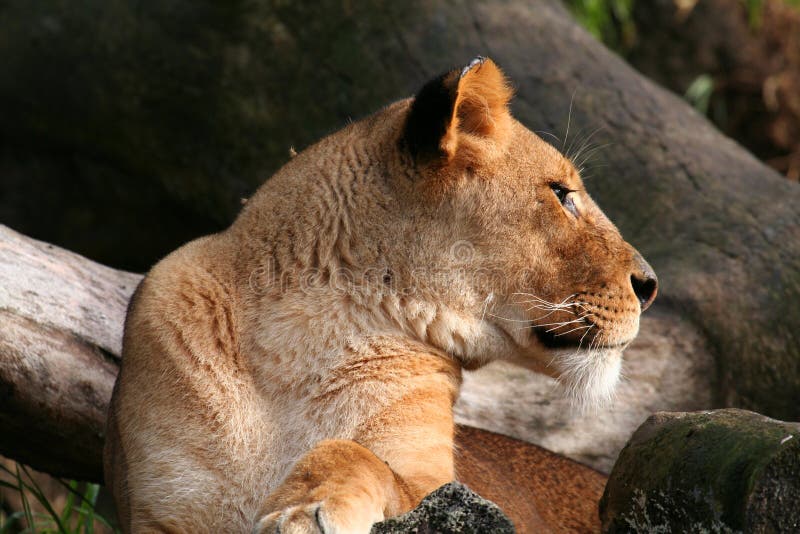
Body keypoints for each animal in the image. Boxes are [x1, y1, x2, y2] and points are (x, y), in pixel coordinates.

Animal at [104, 57, 657, 533]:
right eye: (562, 194)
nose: (651, 286)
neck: (297, 350)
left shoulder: (448, 492)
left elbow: (354, 452)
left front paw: (304, 510)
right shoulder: (159, 510)